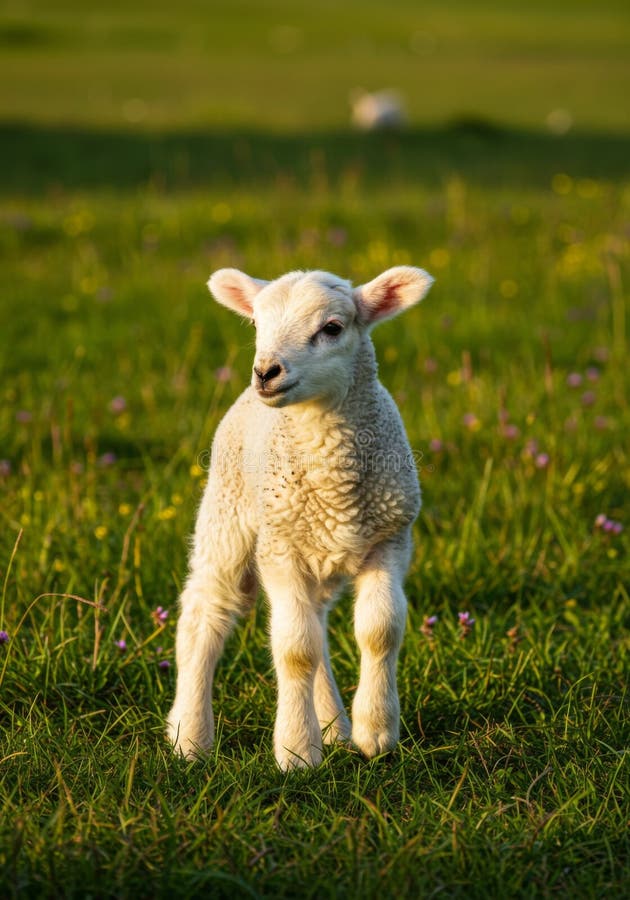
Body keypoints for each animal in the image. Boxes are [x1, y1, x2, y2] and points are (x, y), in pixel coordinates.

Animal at [166, 265, 434, 769]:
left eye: (332, 328)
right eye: (256, 324)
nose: (266, 372)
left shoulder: (389, 540)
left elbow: (379, 630)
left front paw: (375, 731)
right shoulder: (280, 547)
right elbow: (294, 651)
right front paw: (296, 751)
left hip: (318, 555)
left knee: (317, 627)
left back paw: (334, 726)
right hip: (227, 517)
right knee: (205, 612)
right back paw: (189, 737)